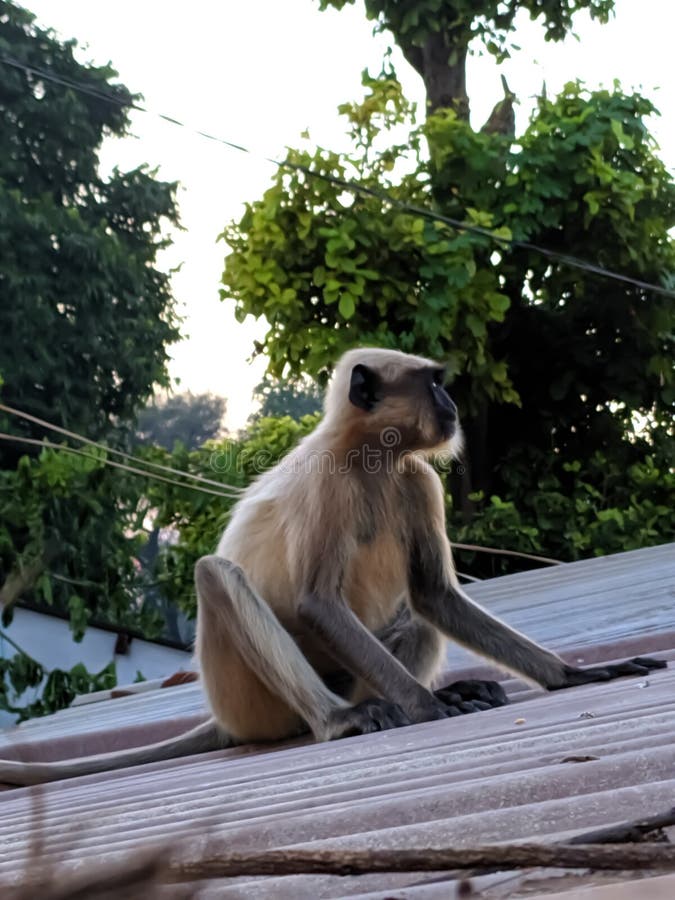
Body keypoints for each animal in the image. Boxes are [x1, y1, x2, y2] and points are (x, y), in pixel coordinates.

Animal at [0, 348, 665, 786]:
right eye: (433, 384)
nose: (451, 404)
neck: (371, 457)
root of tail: (221, 718)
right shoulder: (328, 484)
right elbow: (316, 602)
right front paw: (428, 708)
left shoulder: (416, 477)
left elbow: (435, 596)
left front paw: (570, 675)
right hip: (248, 696)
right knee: (217, 574)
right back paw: (341, 719)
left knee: (416, 616)